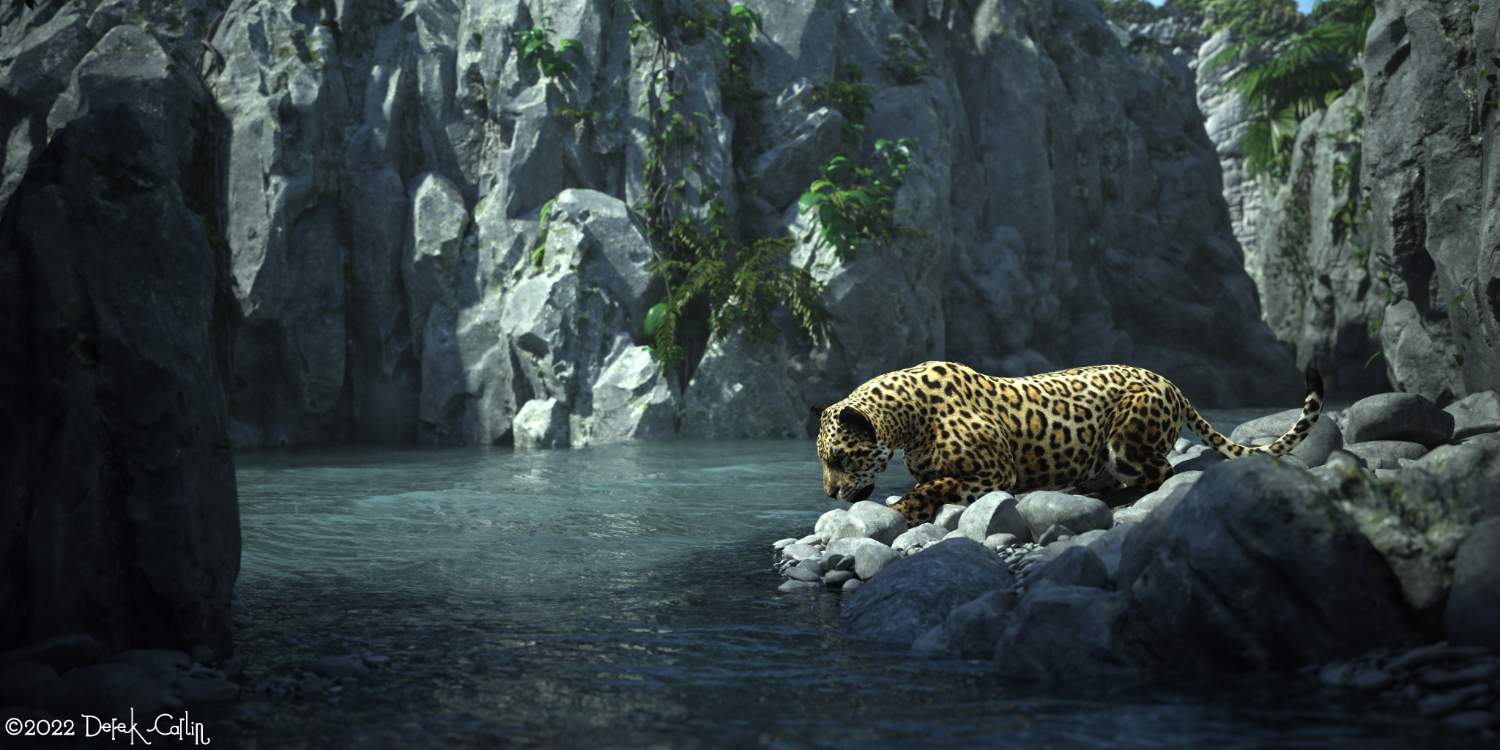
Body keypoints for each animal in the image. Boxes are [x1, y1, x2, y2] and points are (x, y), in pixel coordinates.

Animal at [815, 361, 1323, 525]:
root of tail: (1171, 383)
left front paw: (901, 507)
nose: (830, 494)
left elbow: (934, 486)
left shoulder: (993, 471)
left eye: (838, 457)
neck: (907, 419)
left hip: (1127, 440)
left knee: (1160, 471)